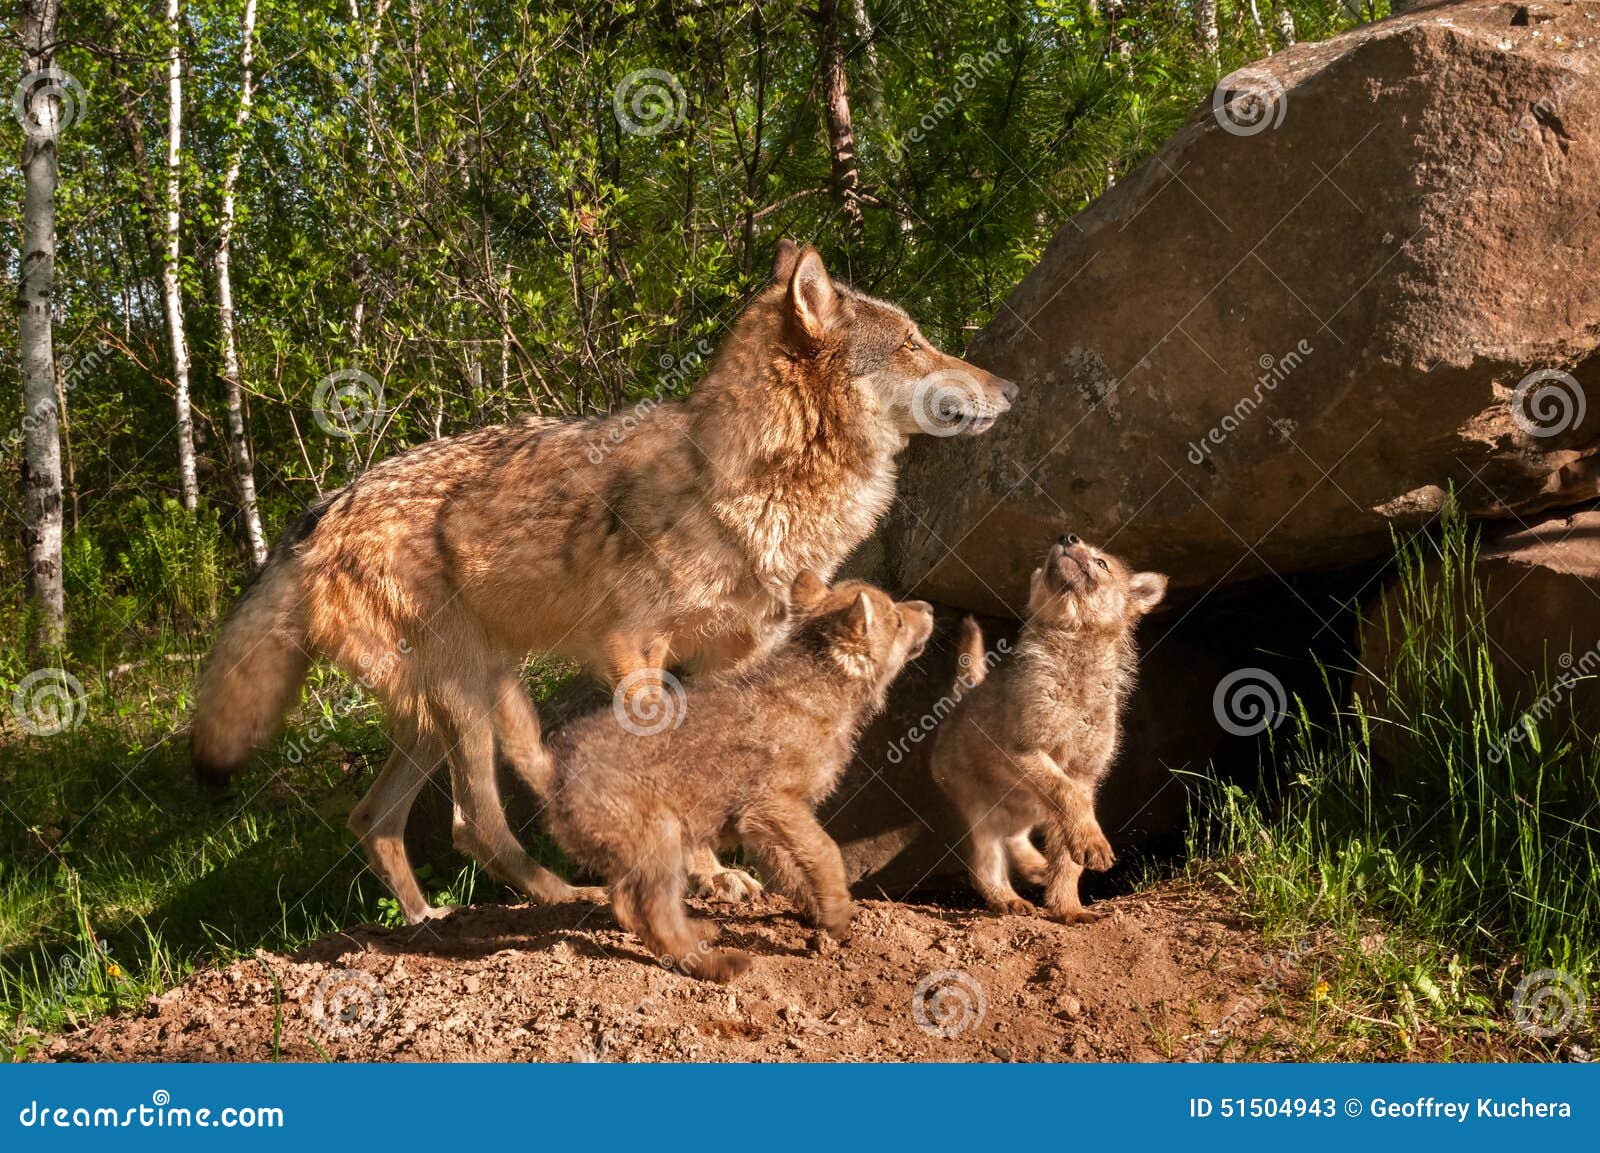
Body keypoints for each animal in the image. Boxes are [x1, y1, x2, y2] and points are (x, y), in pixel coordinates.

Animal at [190, 240, 1015, 925]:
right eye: (912, 342)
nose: (1008, 386)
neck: (754, 479)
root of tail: (322, 506)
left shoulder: (734, 656)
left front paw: (735, 871)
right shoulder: (630, 648)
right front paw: (708, 873)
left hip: (440, 709)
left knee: (377, 818)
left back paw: (426, 918)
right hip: (467, 692)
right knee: (471, 822)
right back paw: (563, 895)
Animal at [546, 573, 933, 981]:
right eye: (898, 620)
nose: (928, 607)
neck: (817, 698)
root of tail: (556, 772)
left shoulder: (763, 824)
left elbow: (793, 871)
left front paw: (817, 915)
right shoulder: (775, 803)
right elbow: (827, 853)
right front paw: (838, 916)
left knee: (624, 903)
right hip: (663, 841)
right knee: (648, 912)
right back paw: (712, 961)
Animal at [929, 533, 1166, 923]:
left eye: (1101, 563)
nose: (1068, 537)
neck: (1074, 657)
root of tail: (964, 695)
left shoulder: (1084, 775)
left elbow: (1068, 855)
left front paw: (1067, 906)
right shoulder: (1030, 753)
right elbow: (1067, 797)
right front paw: (1093, 845)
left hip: (1025, 806)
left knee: (1016, 839)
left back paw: (1037, 867)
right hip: (985, 811)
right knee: (984, 866)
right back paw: (1008, 899)